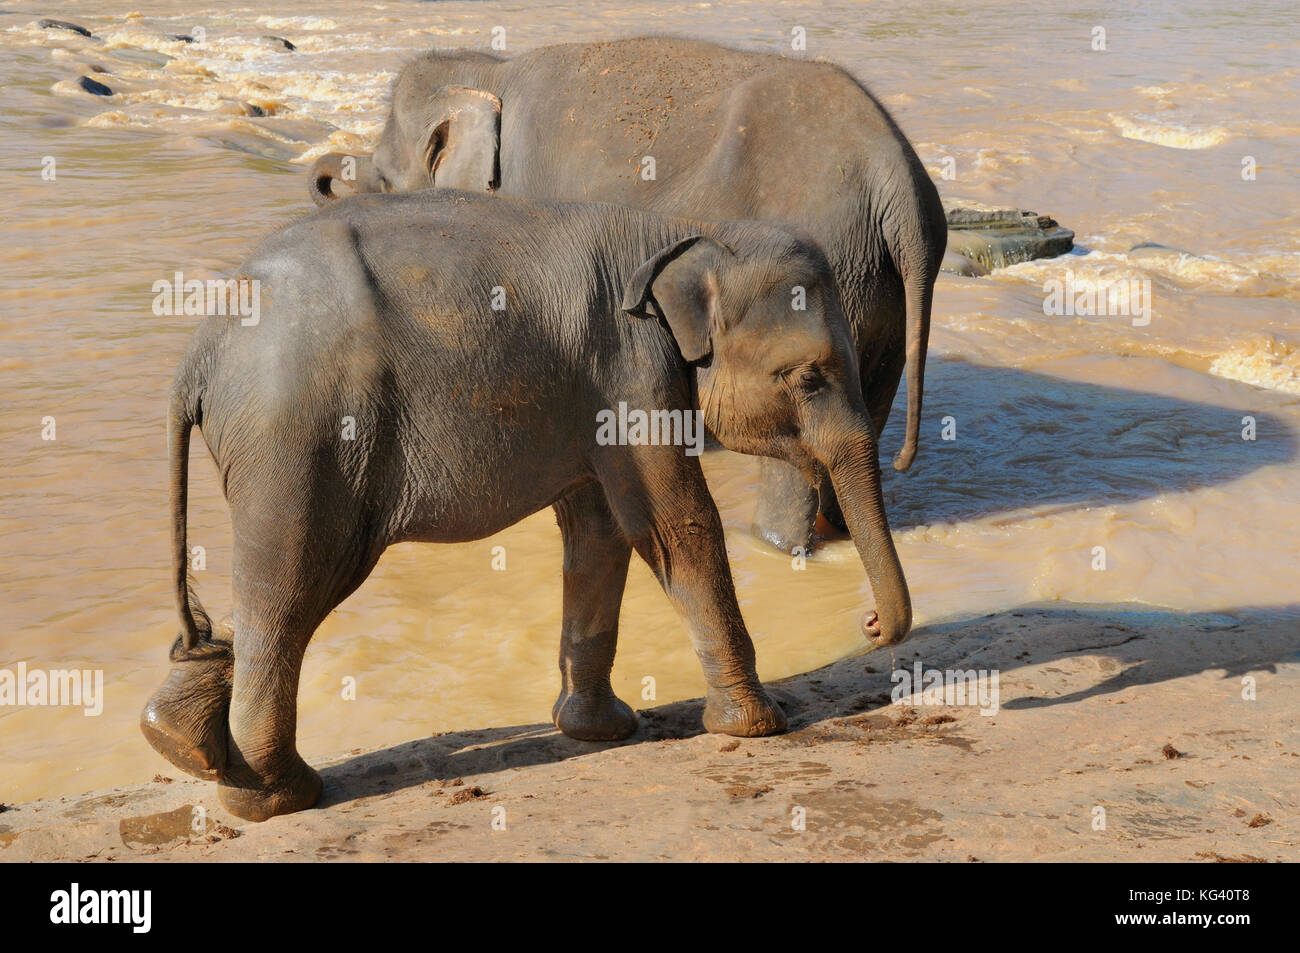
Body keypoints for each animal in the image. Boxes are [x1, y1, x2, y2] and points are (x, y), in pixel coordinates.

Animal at [141, 189, 913, 820]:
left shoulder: (601, 392)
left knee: (277, 590)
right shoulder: (632, 369)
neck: (688, 231)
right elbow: (671, 525)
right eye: (809, 378)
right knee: (291, 587)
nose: (870, 623)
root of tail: (197, 354)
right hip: (302, 439)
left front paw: (600, 730)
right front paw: (756, 724)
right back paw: (277, 796)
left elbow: (600, 532)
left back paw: (178, 735)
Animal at [309, 36, 947, 555]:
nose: (325, 179)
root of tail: (896, 177)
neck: (488, 70)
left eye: (385, 177)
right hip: (878, 293)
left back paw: (766, 544)